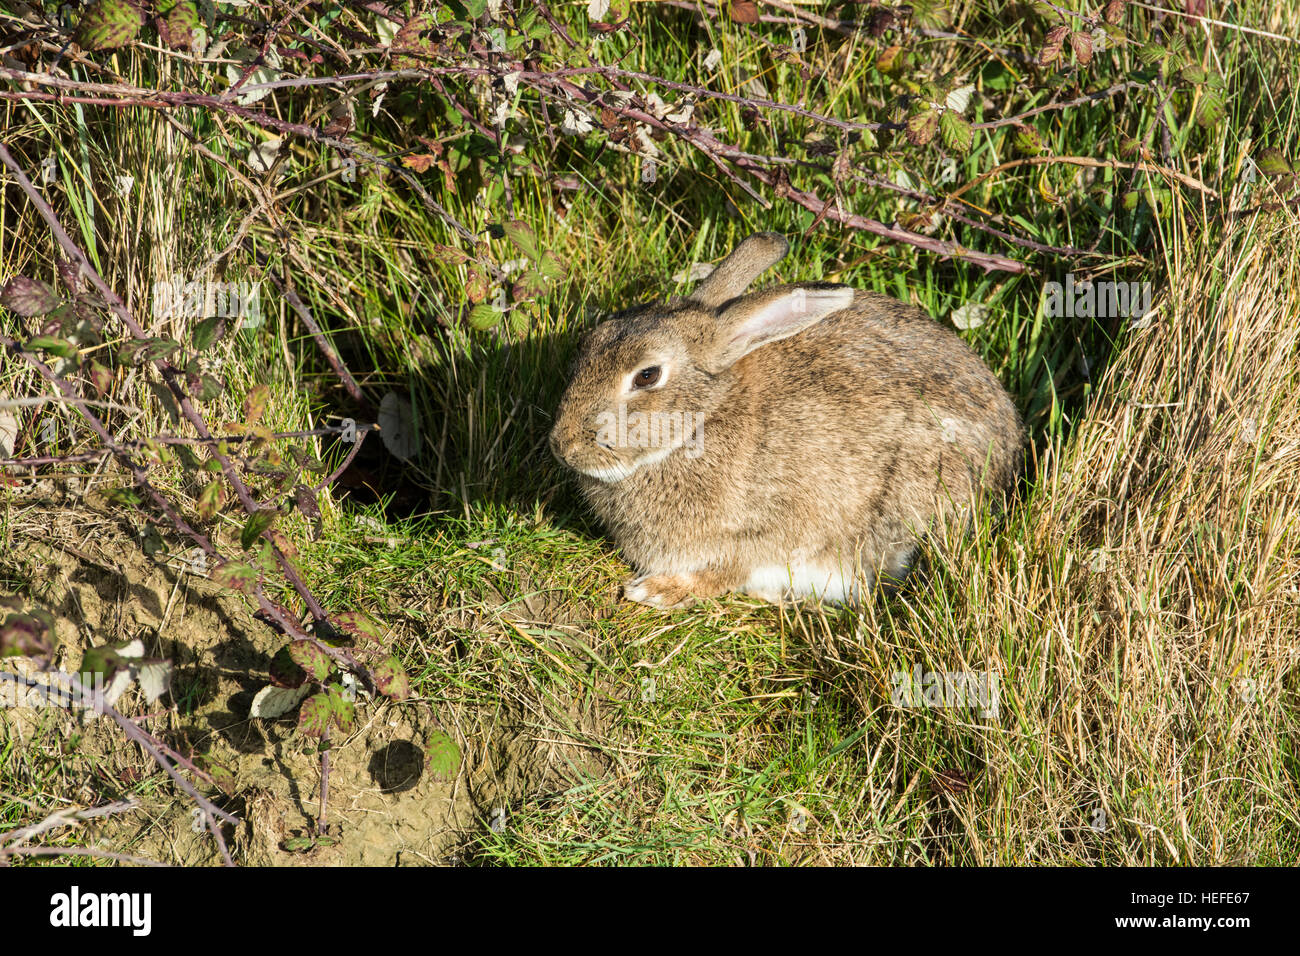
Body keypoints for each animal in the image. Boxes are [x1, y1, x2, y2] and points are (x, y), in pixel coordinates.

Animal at [549, 232, 1023, 609]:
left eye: (647, 376)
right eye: (589, 342)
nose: (561, 446)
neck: (701, 422)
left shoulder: (766, 532)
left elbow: (727, 570)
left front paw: (657, 591)